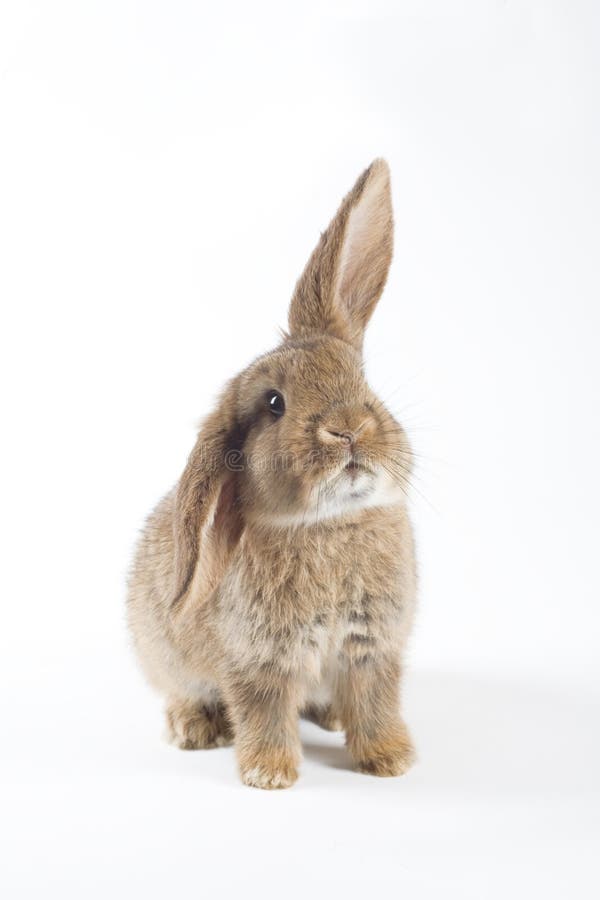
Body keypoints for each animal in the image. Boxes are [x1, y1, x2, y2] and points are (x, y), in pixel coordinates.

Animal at [127, 159, 417, 789]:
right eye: (275, 404)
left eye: (362, 381)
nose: (347, 428)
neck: (328, 525)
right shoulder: (258, 659)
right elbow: (263, 711)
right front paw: (270, 774)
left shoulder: (372, 650)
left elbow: (376, 704)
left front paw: (391, 760)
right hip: (166, 660)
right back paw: (193, 729)